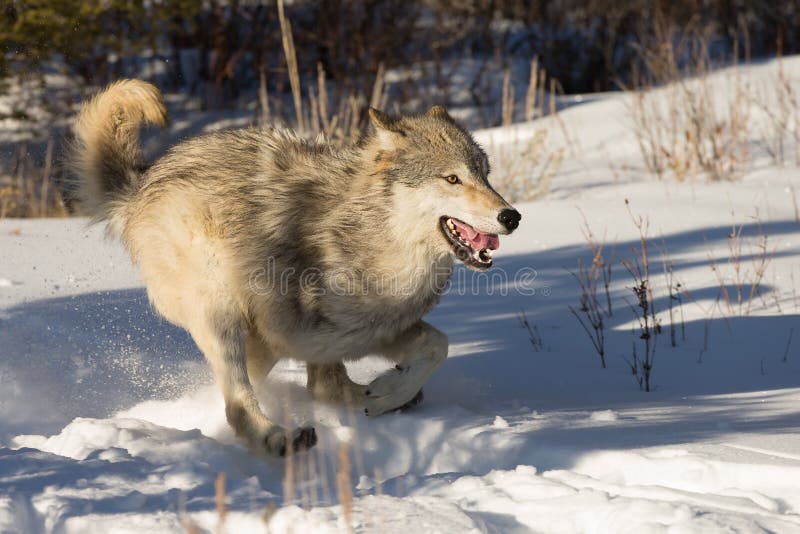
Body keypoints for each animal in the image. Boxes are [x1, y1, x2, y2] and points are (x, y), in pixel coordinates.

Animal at [69, 79, 521, 457]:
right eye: (452, 179)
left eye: (485, 174)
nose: (512, 217)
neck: (375, 241)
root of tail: (144, 182)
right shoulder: (298, 333)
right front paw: (385, 393)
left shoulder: (368, 328)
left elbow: (435, 346)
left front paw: (388, 392)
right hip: (221, 314)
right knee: (239, 402)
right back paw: (278, 439)